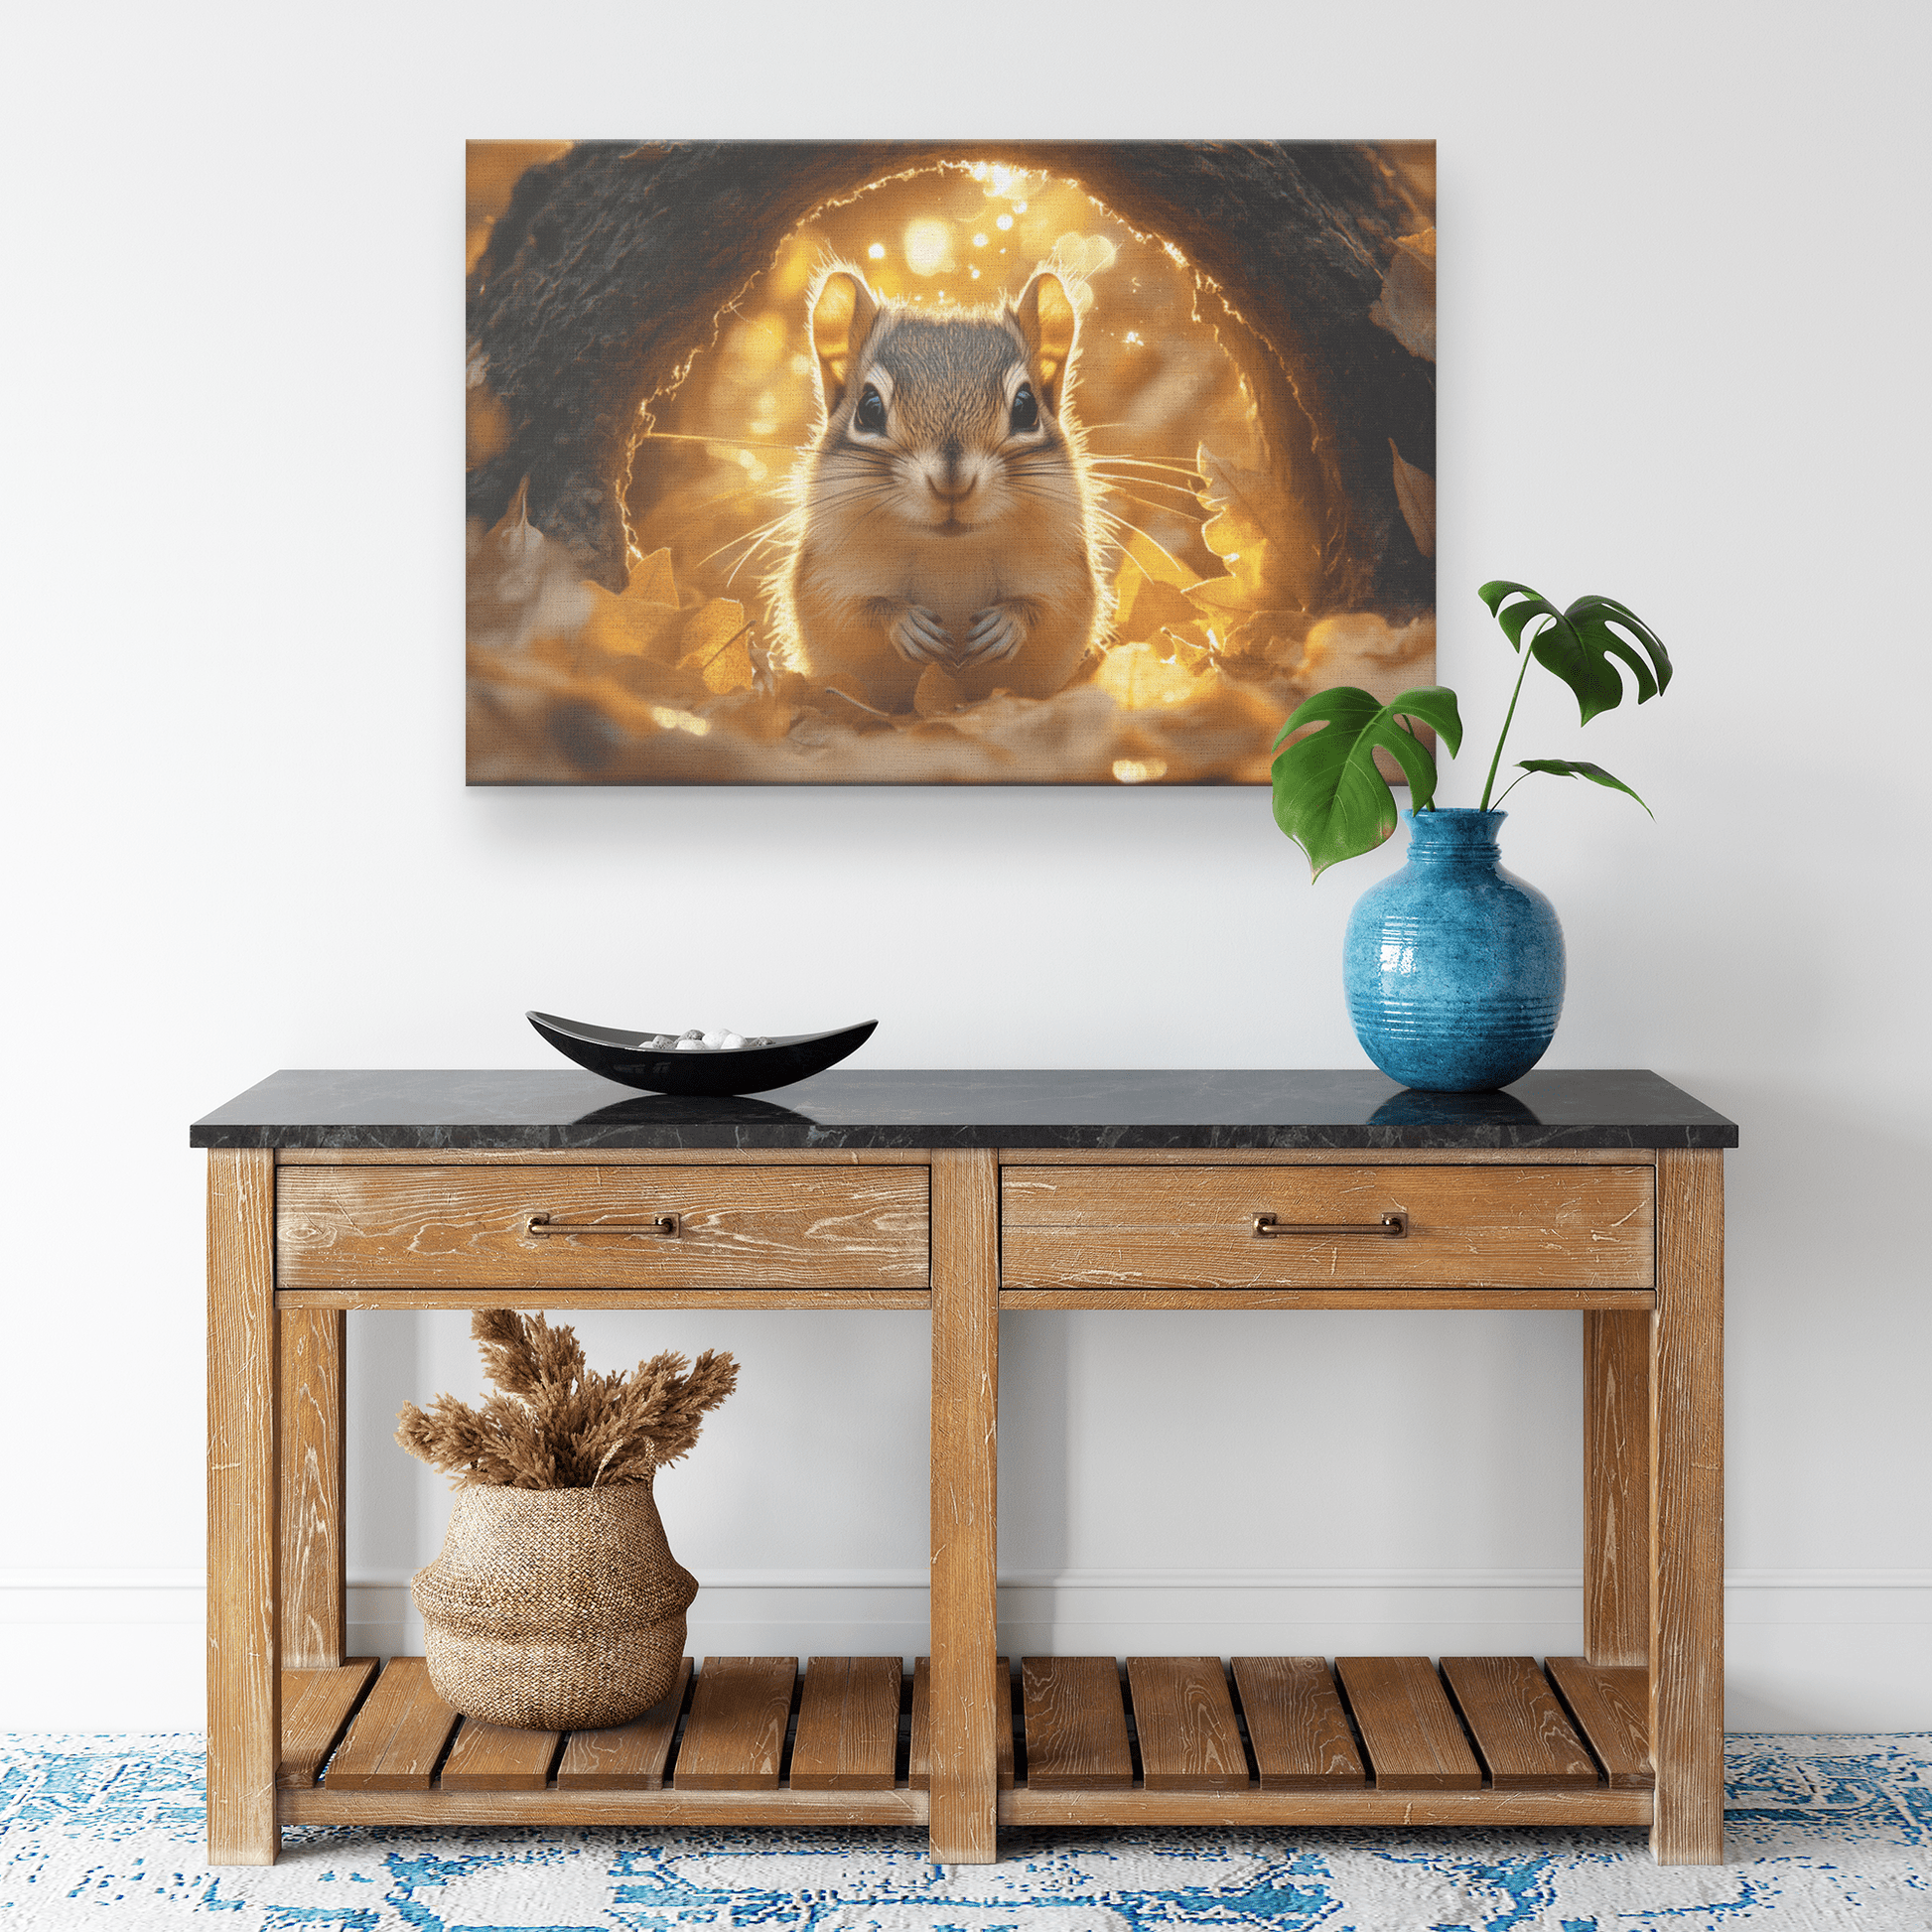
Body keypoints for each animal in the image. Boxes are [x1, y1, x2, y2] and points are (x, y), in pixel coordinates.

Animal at [772, 266, 1107, 713]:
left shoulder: (1064, 573)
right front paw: (905, 623)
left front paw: (1008, 623)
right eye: (869, 408)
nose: (952, 482)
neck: (950, 551)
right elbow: (851, 613)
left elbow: (1051, 611)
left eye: (1026, 407)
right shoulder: (828, 576)